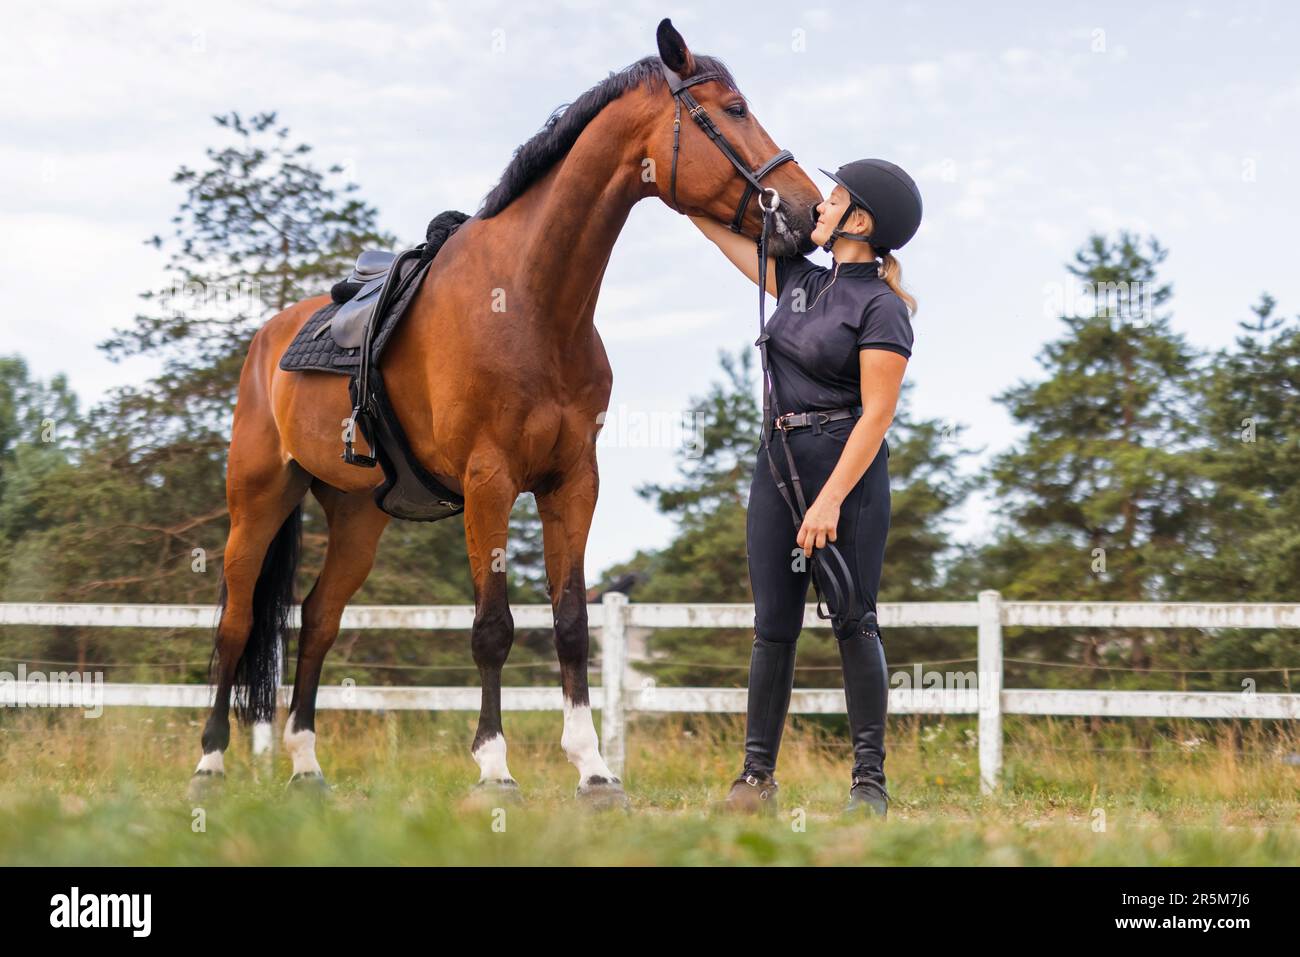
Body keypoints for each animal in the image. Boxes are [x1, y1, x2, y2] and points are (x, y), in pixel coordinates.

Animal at [189, 18, 821, 805]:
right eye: (733, 110)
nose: (809, 210)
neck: (529, 301)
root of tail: (268, 338)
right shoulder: (488, 482)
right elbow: (493, 625)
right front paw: (494, 768)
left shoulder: (572, 481)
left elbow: (572, 621)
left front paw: (593, 768)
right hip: (259, 500)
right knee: (237, 621)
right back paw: (210, 763)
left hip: (357, 517)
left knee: (317, 620)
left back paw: (306, 766)